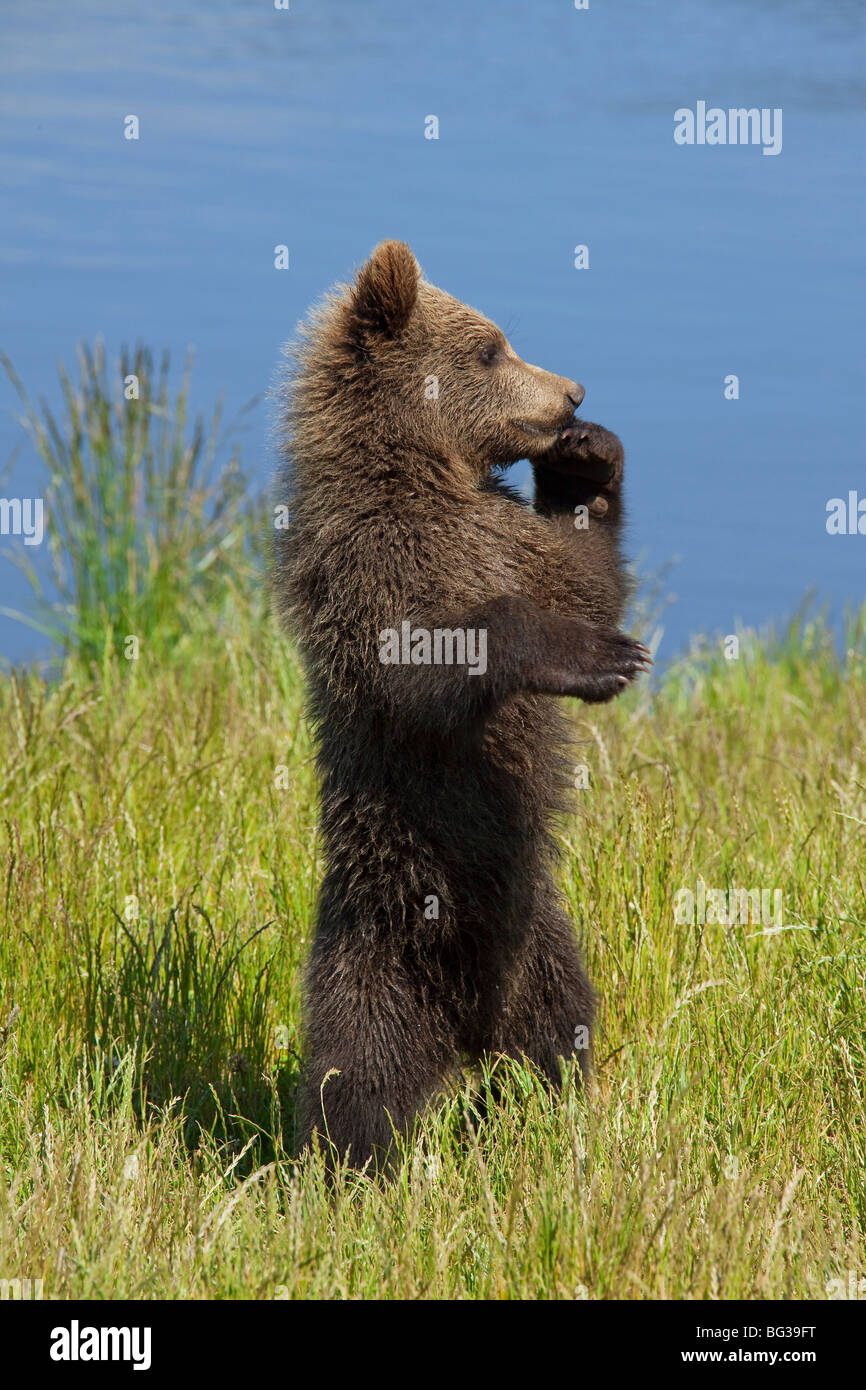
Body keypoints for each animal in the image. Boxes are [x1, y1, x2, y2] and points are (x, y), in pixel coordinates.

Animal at [273, 240, 649, 1169]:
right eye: (489, 349)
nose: (572, 392)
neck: (428, 473)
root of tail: (464, 1023)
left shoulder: (509, 540)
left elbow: (582, 577)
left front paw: (588, 461)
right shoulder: (377, 560)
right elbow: (429, 660)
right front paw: (600, 659)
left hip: (537, 939)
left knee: (561, 1027)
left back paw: (552, 1115)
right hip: (379, 951)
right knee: (357, 1073)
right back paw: (347, 1165)